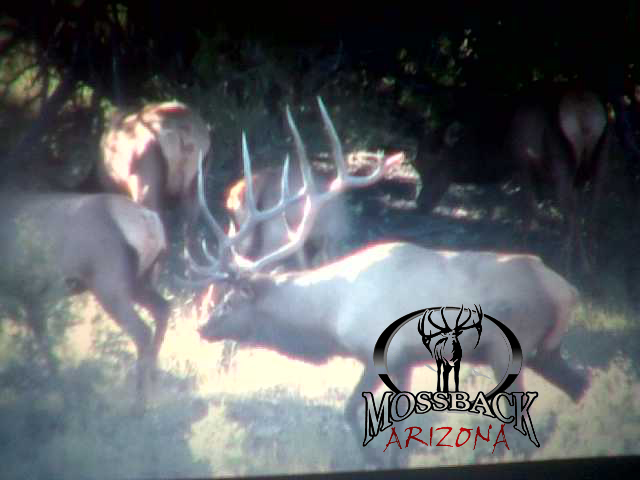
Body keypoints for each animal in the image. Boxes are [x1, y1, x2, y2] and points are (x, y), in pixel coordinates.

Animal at [0, 191, 170, 406]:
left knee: (141, 330)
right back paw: (156, 387)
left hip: (109, 284)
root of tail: (150, 223)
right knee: (163, 308)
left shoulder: (27, 291)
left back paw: (138, 404)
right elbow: (40, 336)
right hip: (140, 281)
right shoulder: (31, 296)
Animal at [188, 97, 590, 469]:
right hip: (544, 351)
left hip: (508, 350)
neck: (330, 315)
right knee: (581, 384)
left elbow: (355, 414)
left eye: (229, 300)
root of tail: (567, 292)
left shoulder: (385, 353)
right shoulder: (406, 361)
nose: (201, 327)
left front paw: (375, 459)